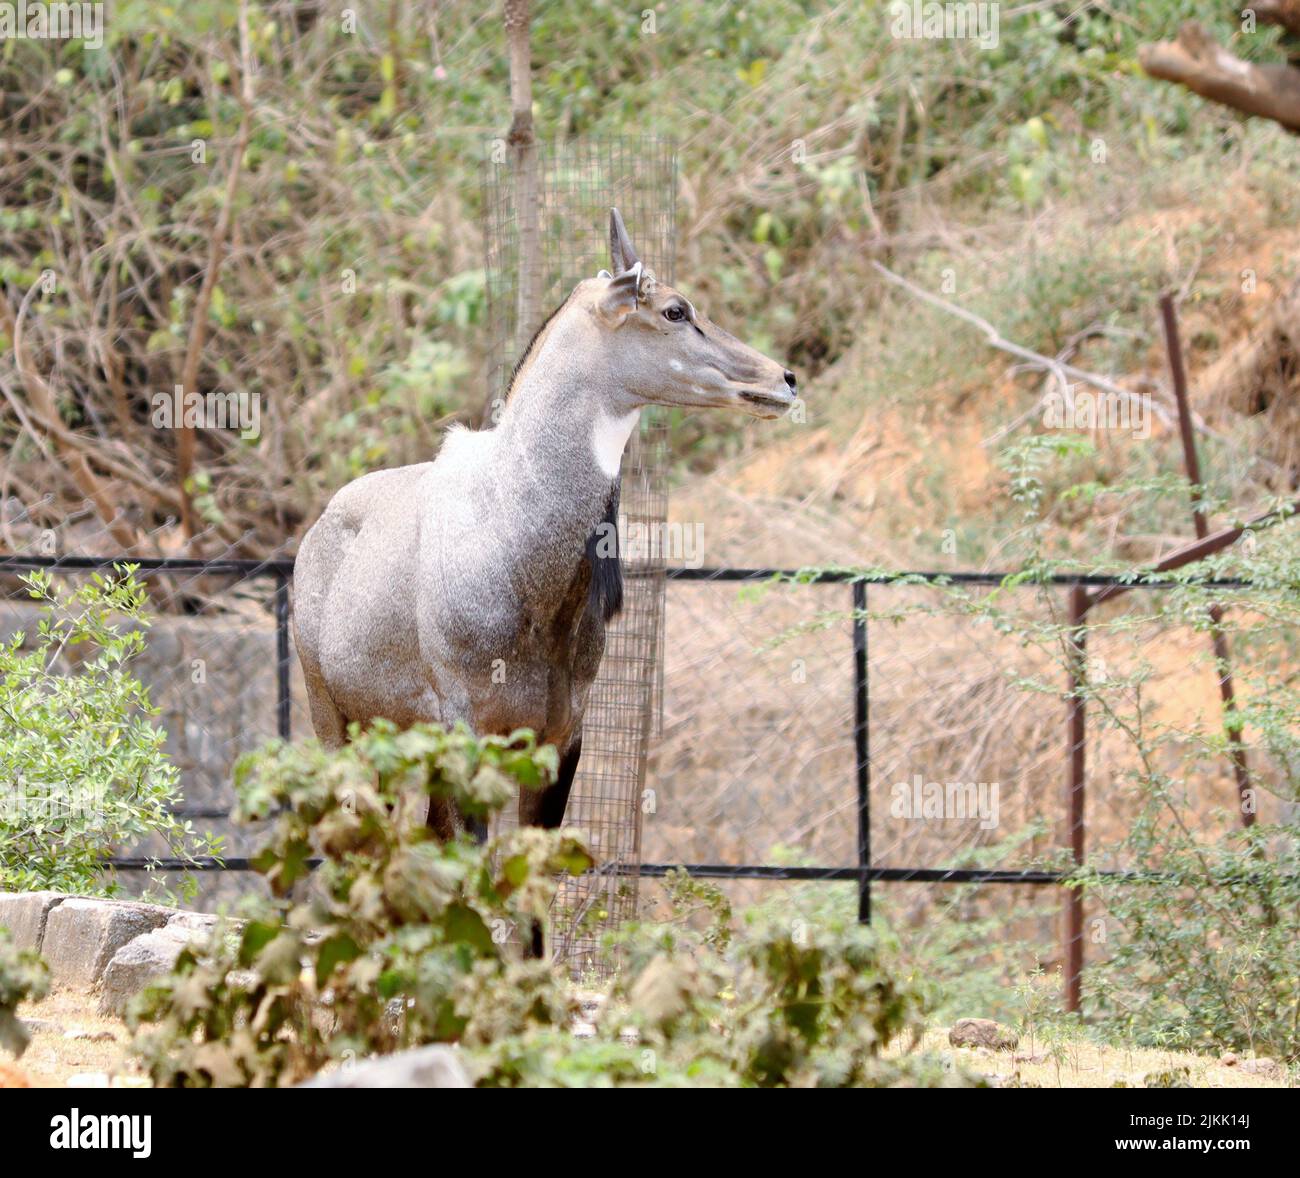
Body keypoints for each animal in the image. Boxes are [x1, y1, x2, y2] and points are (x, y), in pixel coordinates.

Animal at [292, 210, 797, 862]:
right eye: (674, 311)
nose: (784, 378)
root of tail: (321, 526)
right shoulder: (469, 733)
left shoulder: (562, 738)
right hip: (336, 726)